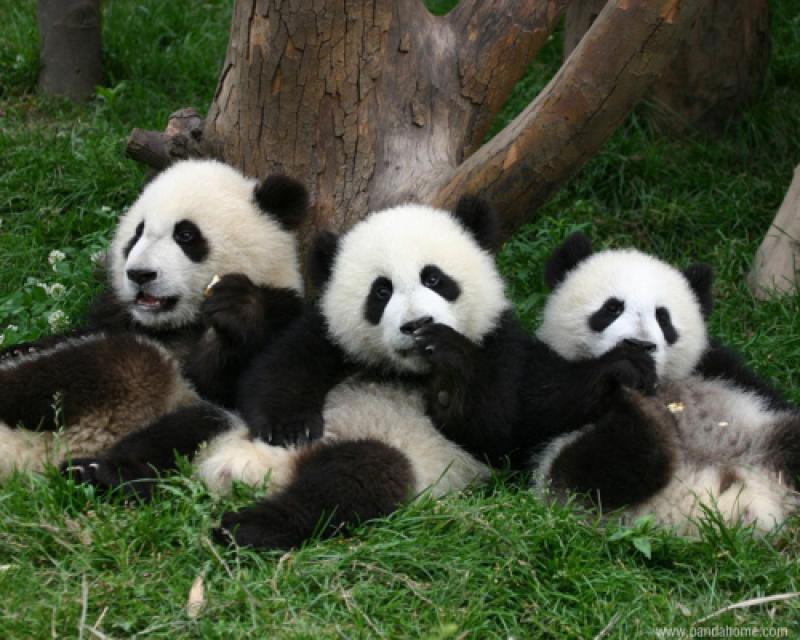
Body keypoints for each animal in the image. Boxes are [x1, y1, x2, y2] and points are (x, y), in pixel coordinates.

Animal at [0, 159, 308, 480]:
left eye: (185, 235)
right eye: (137, 233)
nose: (140, 275)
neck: (174, 323)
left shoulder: (283, 314)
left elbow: (234, 382)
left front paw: (235, 308)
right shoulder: (117, 315)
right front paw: (21, 348)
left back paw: (95, 470)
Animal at [179, 199, 659, 550]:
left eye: (435, 278)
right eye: (381, 291)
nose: (416, 325)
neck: (407, 372)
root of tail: (246, 471)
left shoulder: (502, 345)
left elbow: (503, 424)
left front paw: (449, 375)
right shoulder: (326, 333)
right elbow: (273, 369)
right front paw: (286, 419)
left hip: (386, 458)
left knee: (352, 483)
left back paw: (248, 527)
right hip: (215, 428)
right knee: (191, 422)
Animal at [531, 232, 800, 534]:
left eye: (663, 317)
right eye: (612, 308)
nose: (639, 344)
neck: (657, 384)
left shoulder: (721, 369)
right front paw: (624, 369)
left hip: (769, 436)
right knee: (601, 466)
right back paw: (646, 418)